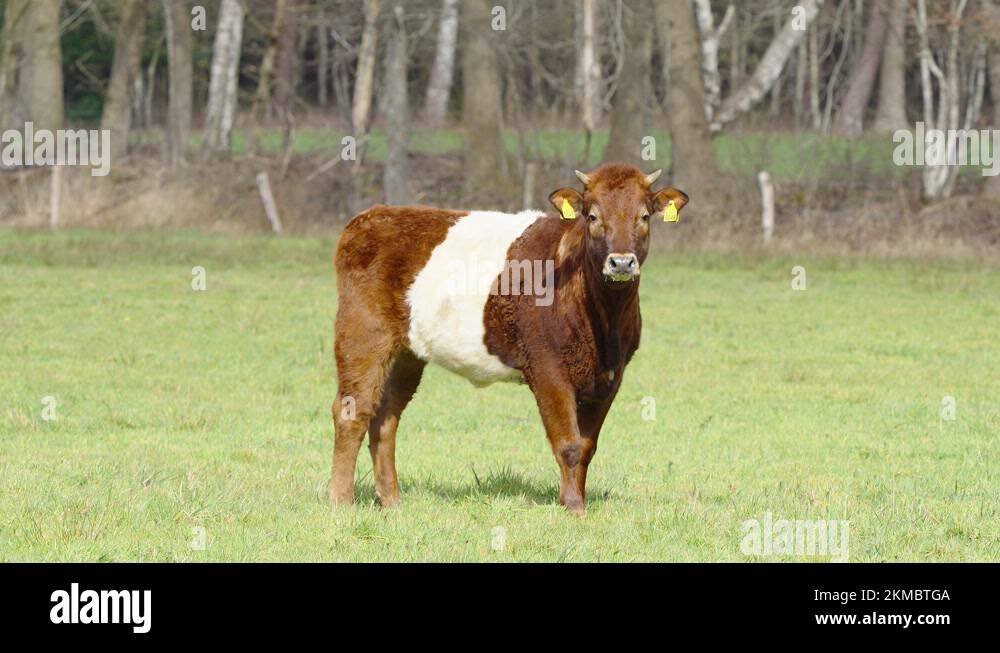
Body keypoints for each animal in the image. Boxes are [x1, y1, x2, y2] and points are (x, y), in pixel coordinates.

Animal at [329, 163, 688, 514]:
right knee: (353, 411)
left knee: (386, 416)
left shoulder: (611, 374)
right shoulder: (547, 368)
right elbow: (568, 444)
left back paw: (391, 501)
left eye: (644, 216)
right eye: (592, 216)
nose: (621, 262)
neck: (603, 320)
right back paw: (342, 501)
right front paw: (574, 508)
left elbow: (586, 446)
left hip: (407, 352)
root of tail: (372, 214)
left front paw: (575, 500)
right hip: (362, 334)